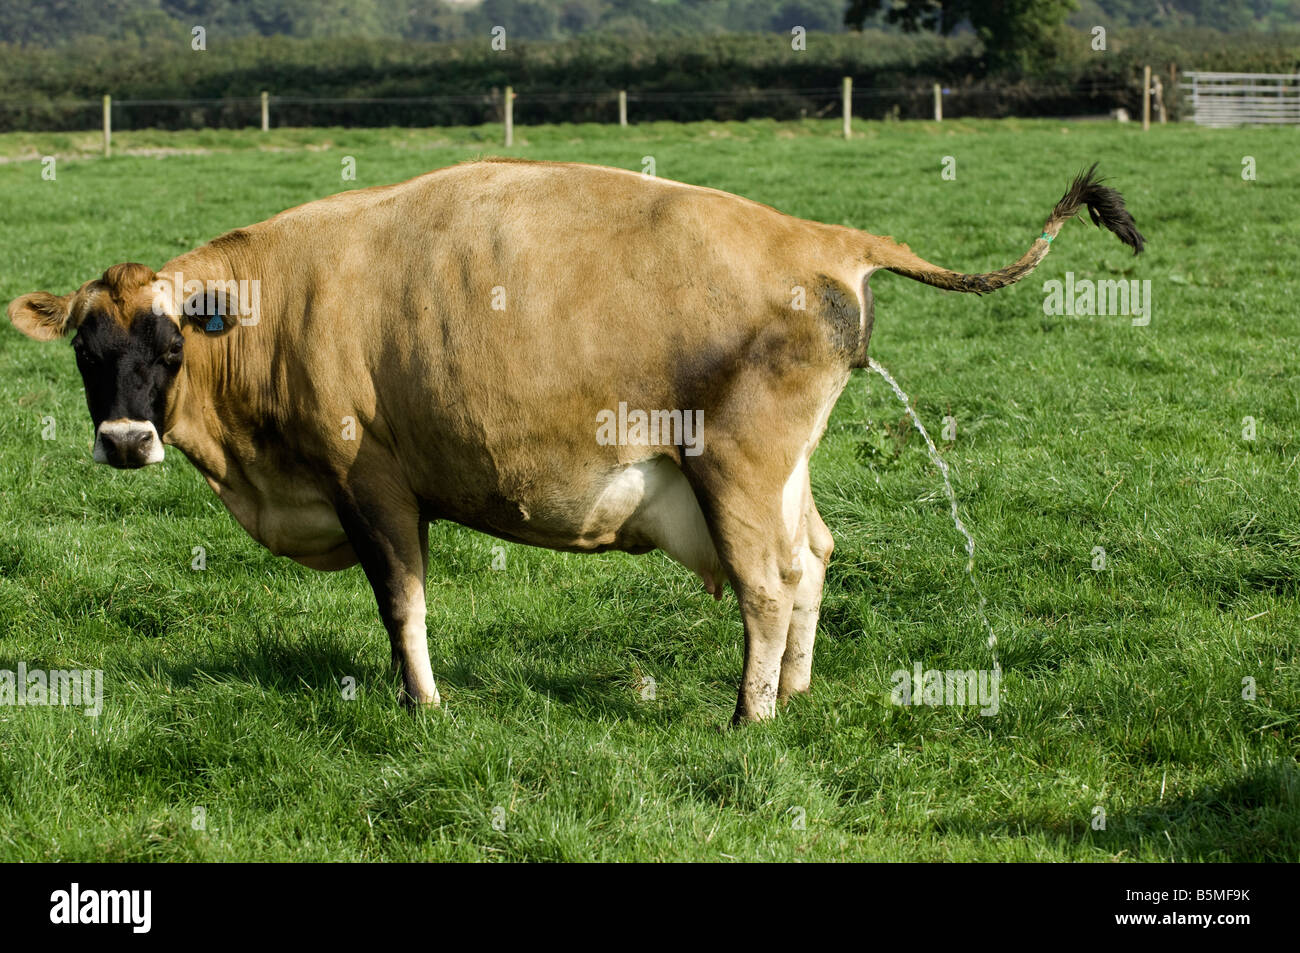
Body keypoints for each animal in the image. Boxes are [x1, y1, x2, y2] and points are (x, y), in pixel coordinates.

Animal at [7, 159, 1142, 723]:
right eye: (87, 348)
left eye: (167, 343)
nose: (123, 439)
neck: (277, 310)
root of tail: (820, 238)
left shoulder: (372, 482)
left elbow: (401, 604)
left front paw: (424, 707)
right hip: (779, 474)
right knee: (813, 557)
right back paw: (797, 692)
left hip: (733, 468)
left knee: (768, 585)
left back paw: (750, 717)